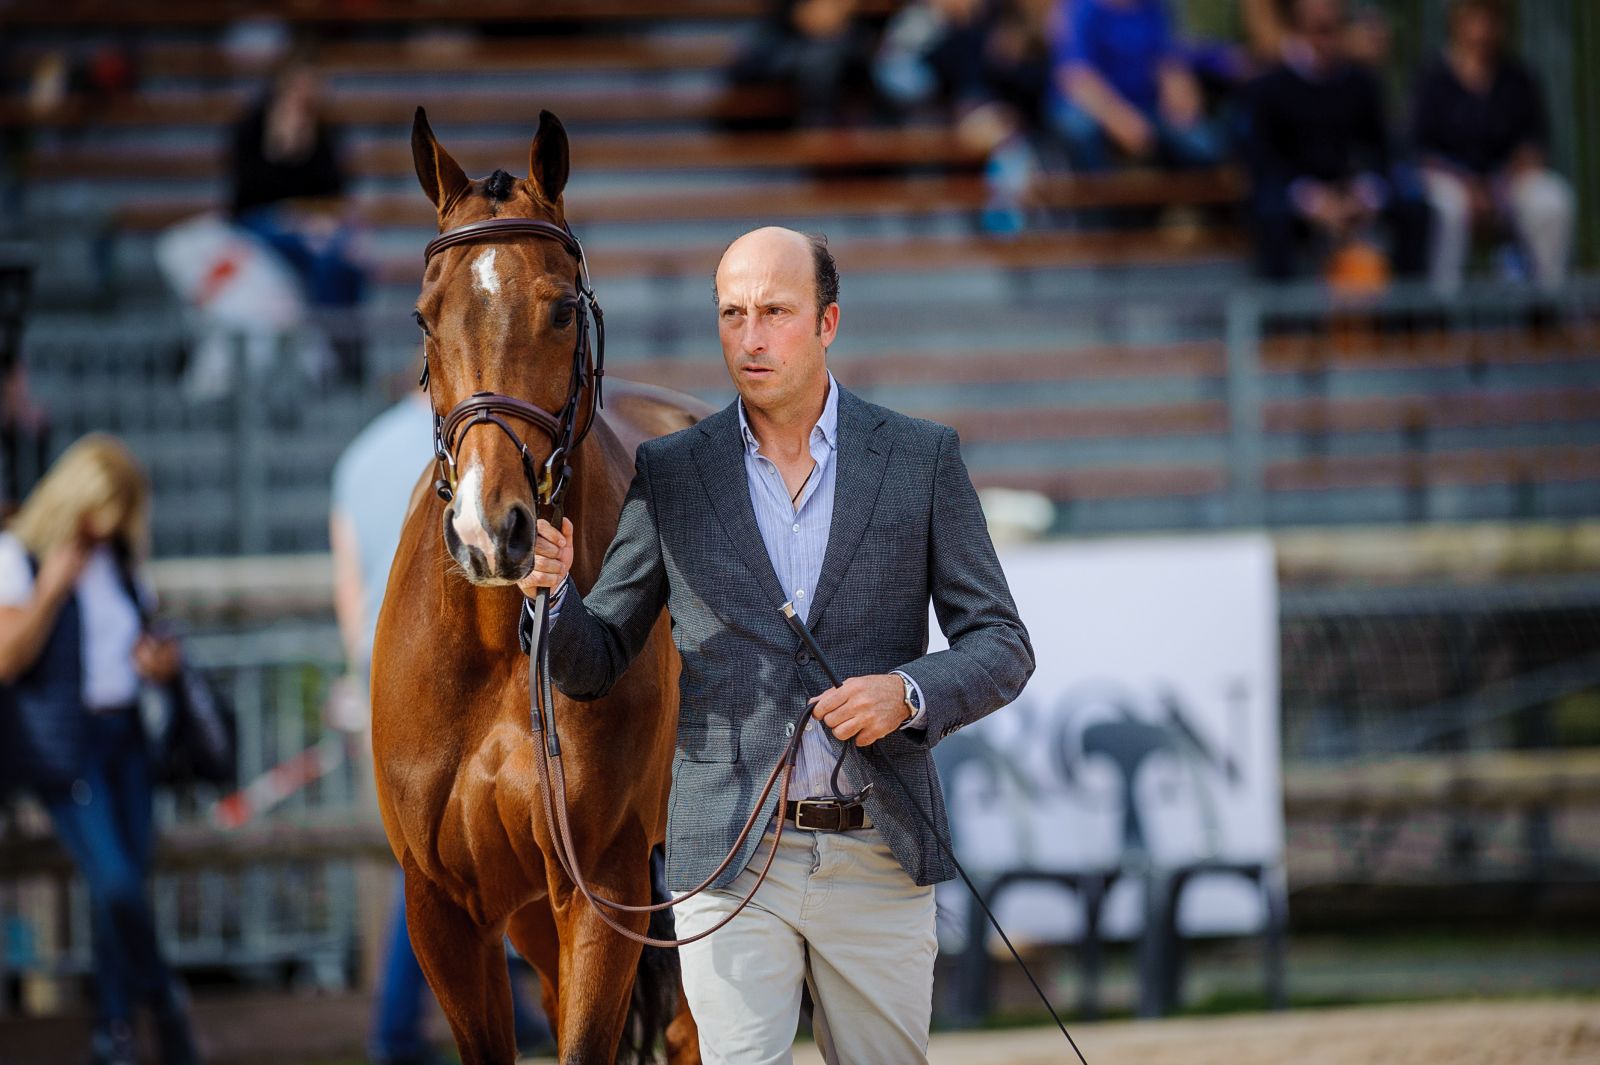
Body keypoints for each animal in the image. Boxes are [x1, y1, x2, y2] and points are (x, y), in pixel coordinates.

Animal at [371, 107, 711, 1065]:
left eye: (560, 309)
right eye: (424, 317)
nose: (494, 530)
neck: (494, 649)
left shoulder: (602, 884)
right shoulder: (445, 909)